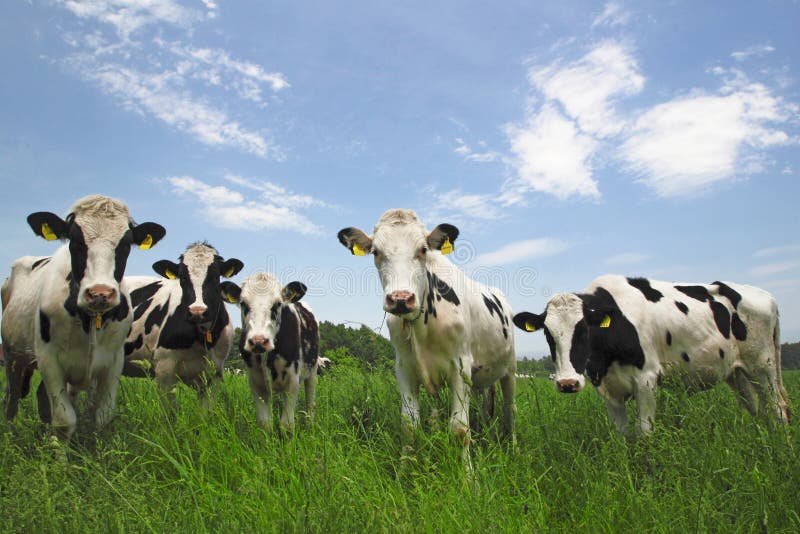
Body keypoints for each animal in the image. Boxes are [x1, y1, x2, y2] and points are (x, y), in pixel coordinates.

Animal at [1, 195, 165, 440]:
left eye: (126, 245)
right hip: (12, 356)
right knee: (11, 399)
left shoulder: (113, 361)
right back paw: (10, 434)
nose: (100, 293)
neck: (90, 321)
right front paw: (59, 452)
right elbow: (64, 420)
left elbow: (103, 416)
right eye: (76, 241)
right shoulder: (48, 358)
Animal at [121, 242, 243, 407]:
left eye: (215, 277)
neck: (200, 338)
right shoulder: (164, 370)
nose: (197, 311)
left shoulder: (215, 373)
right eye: (183, 278)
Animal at [221, 272, 320, 432]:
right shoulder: (256, 382)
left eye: (278, 304)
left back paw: (310, 426)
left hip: (312, 371)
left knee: (310, 404)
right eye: (243, 303)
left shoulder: (292, 381)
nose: (259, 341)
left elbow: (287, 424)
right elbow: (264, 423)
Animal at [337, 209, 516, 462]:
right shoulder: (404, 368)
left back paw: (514, 447)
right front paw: (405, 469)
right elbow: (409, 426)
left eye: (423, 249)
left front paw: (467, 473)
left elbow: (460, 429)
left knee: (510, 410)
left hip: (510, 368)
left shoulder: (461, 367)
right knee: (487, 408)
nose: (401, 299)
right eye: (375, 252)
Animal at [513, 274, 790, 435]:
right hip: (737, 373)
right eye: (548, 333)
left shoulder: (646, 379)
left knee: (778, 409)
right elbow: (621, 434)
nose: (567, 384)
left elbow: (645, 431)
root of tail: (767, 296)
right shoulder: (608, 387)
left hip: (763, 366)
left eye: (585, 330)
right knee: (757, 409)